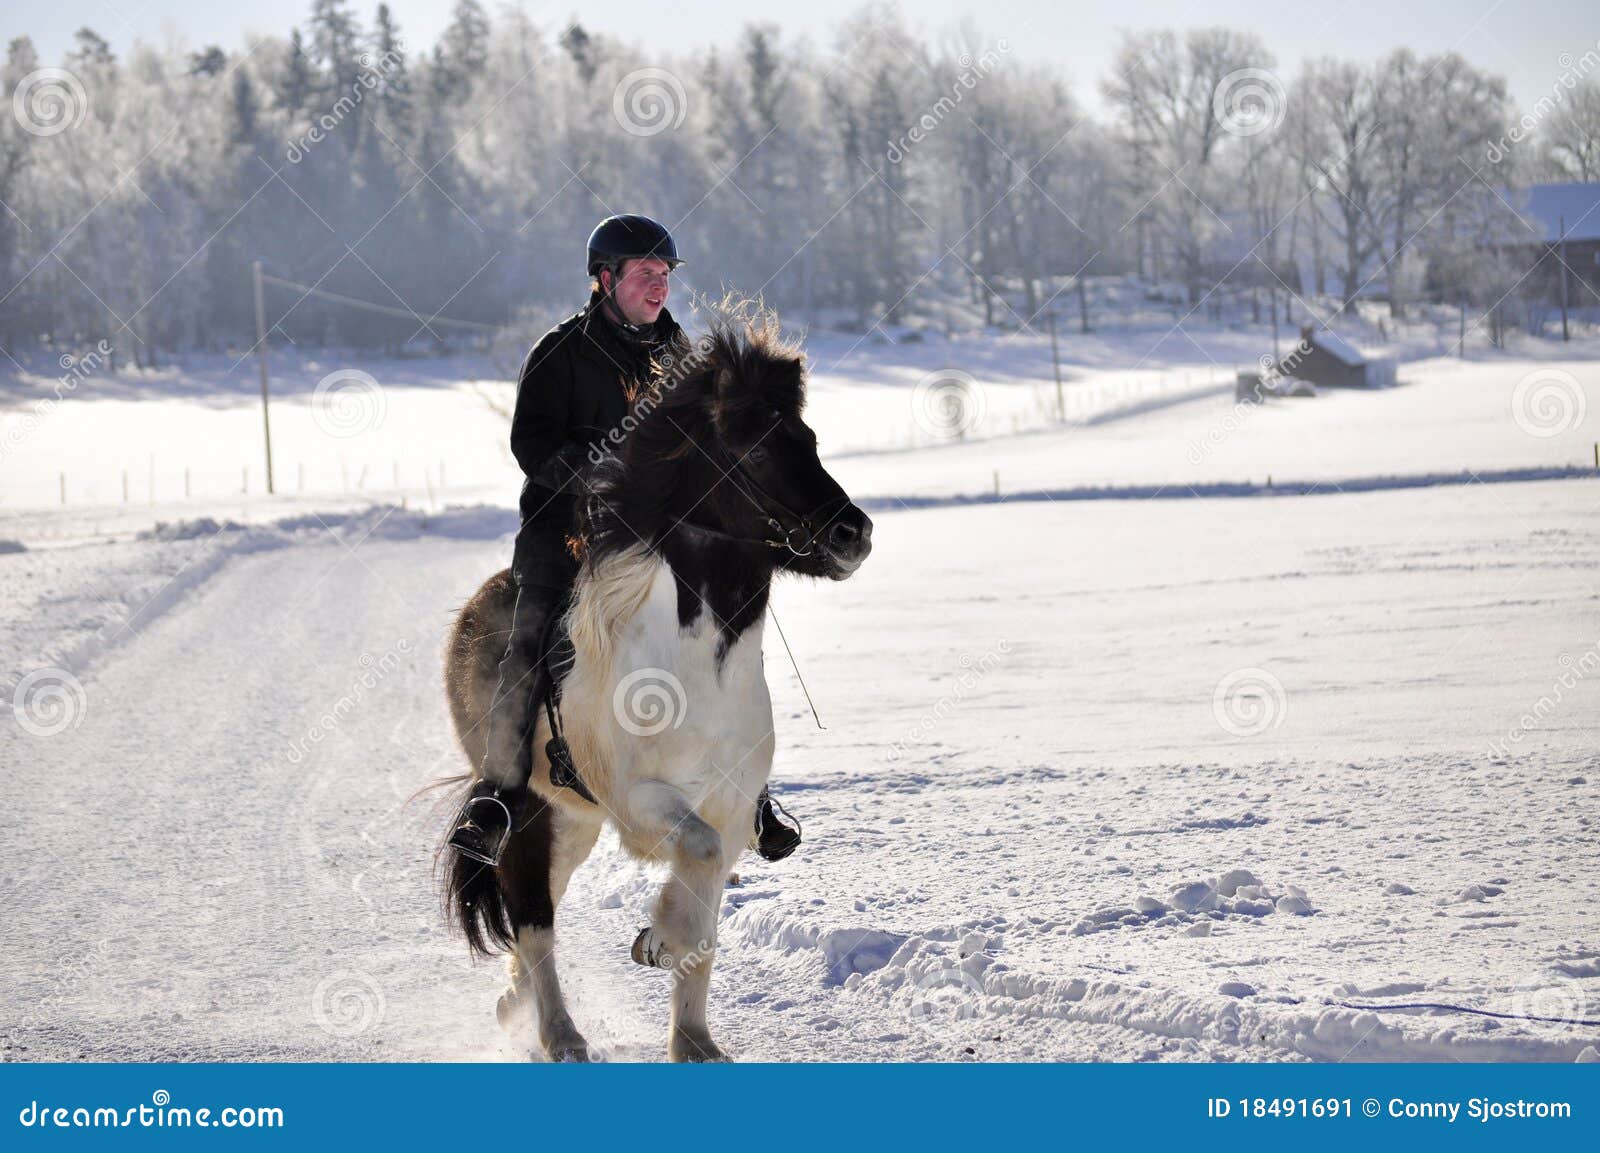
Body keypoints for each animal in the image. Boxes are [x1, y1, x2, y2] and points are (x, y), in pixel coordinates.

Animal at [439, 299, 873, 1062]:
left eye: (809, 438)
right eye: (756, 449)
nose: (855, 533)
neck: (700, 665)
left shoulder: (731, 807)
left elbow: (709, 909)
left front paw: (693, 1036)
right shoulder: (642, 797)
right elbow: (694, 861)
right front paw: (659, 938)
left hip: (574, 818)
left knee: (537, 909)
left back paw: (515, 1000)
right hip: (528, 809)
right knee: (533, 915)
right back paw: (559, 1035)